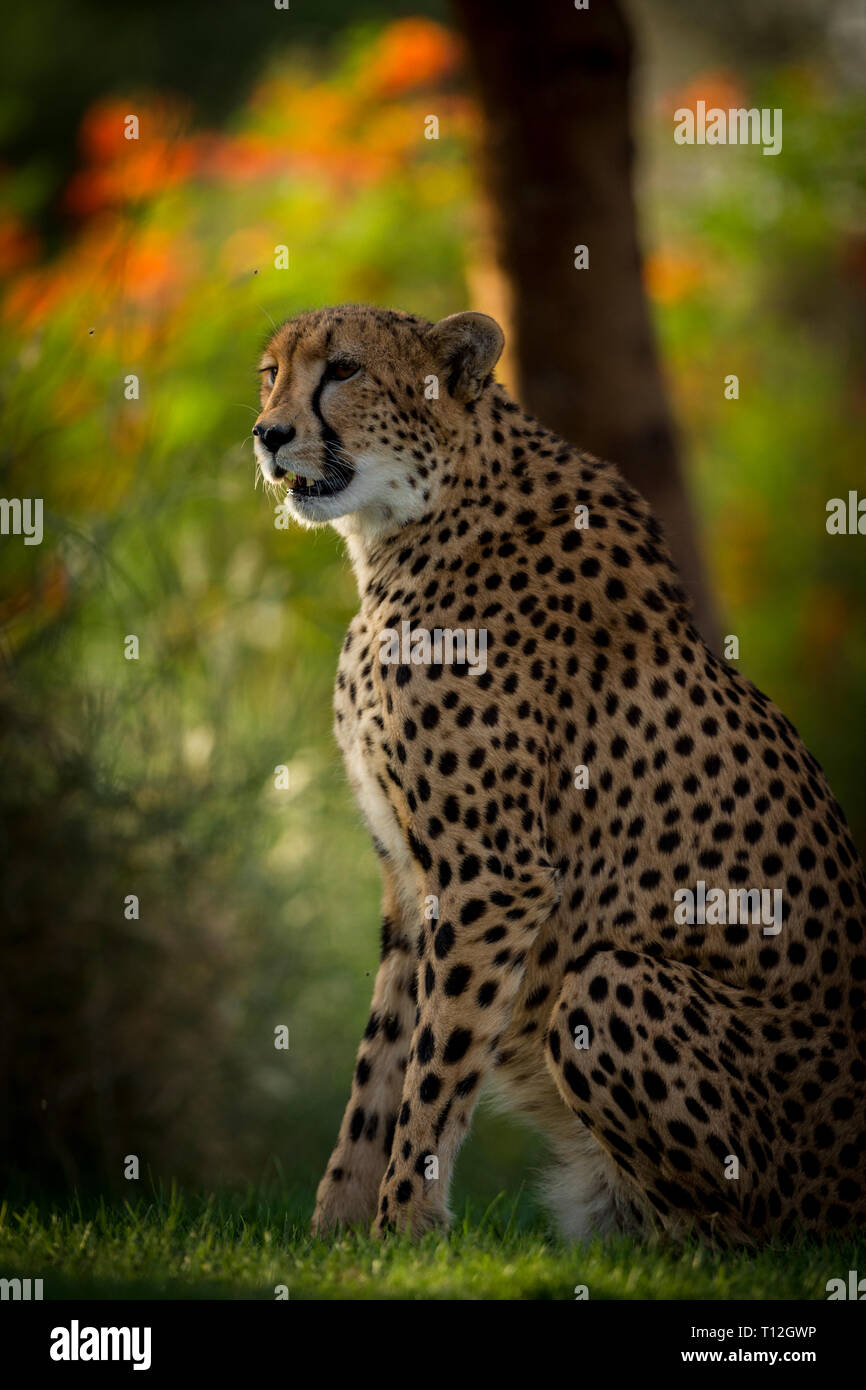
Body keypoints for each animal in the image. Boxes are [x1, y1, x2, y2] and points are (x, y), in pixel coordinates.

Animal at [252, 303, 866, 1245]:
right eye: (270, 374)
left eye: (344, 370)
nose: (268, 435)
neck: (416, 518)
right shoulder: (410, 882)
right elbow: (378, 1074)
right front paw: (339, 1236)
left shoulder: (493, 878)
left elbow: (433, 1071)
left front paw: (404, 1228)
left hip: (616, 988)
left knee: (740, 1238)